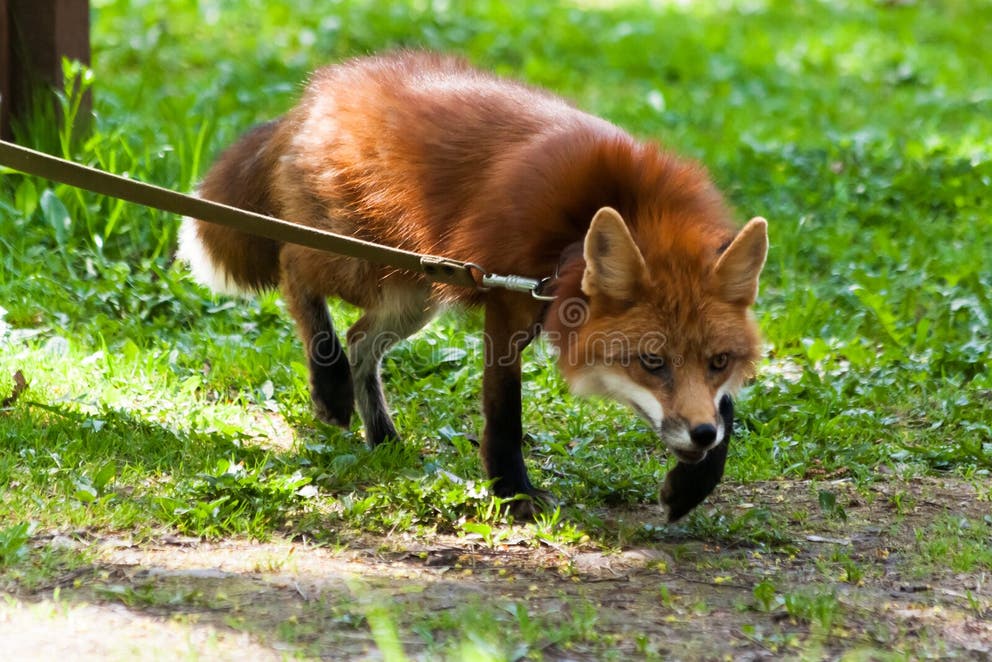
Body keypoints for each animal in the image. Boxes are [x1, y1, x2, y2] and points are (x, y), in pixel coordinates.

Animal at [178, 52, 768, 521]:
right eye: (651, 362)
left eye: (718, 362)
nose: (699, 435)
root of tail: (319, 88)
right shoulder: (508, 305)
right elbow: (504, 413)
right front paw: (514, 494)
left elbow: (728, 411)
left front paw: (692, 486)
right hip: (357, 263)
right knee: (293, 270)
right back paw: (330, 386)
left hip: (418, 287)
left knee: (361, 340)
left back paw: (383, 438)